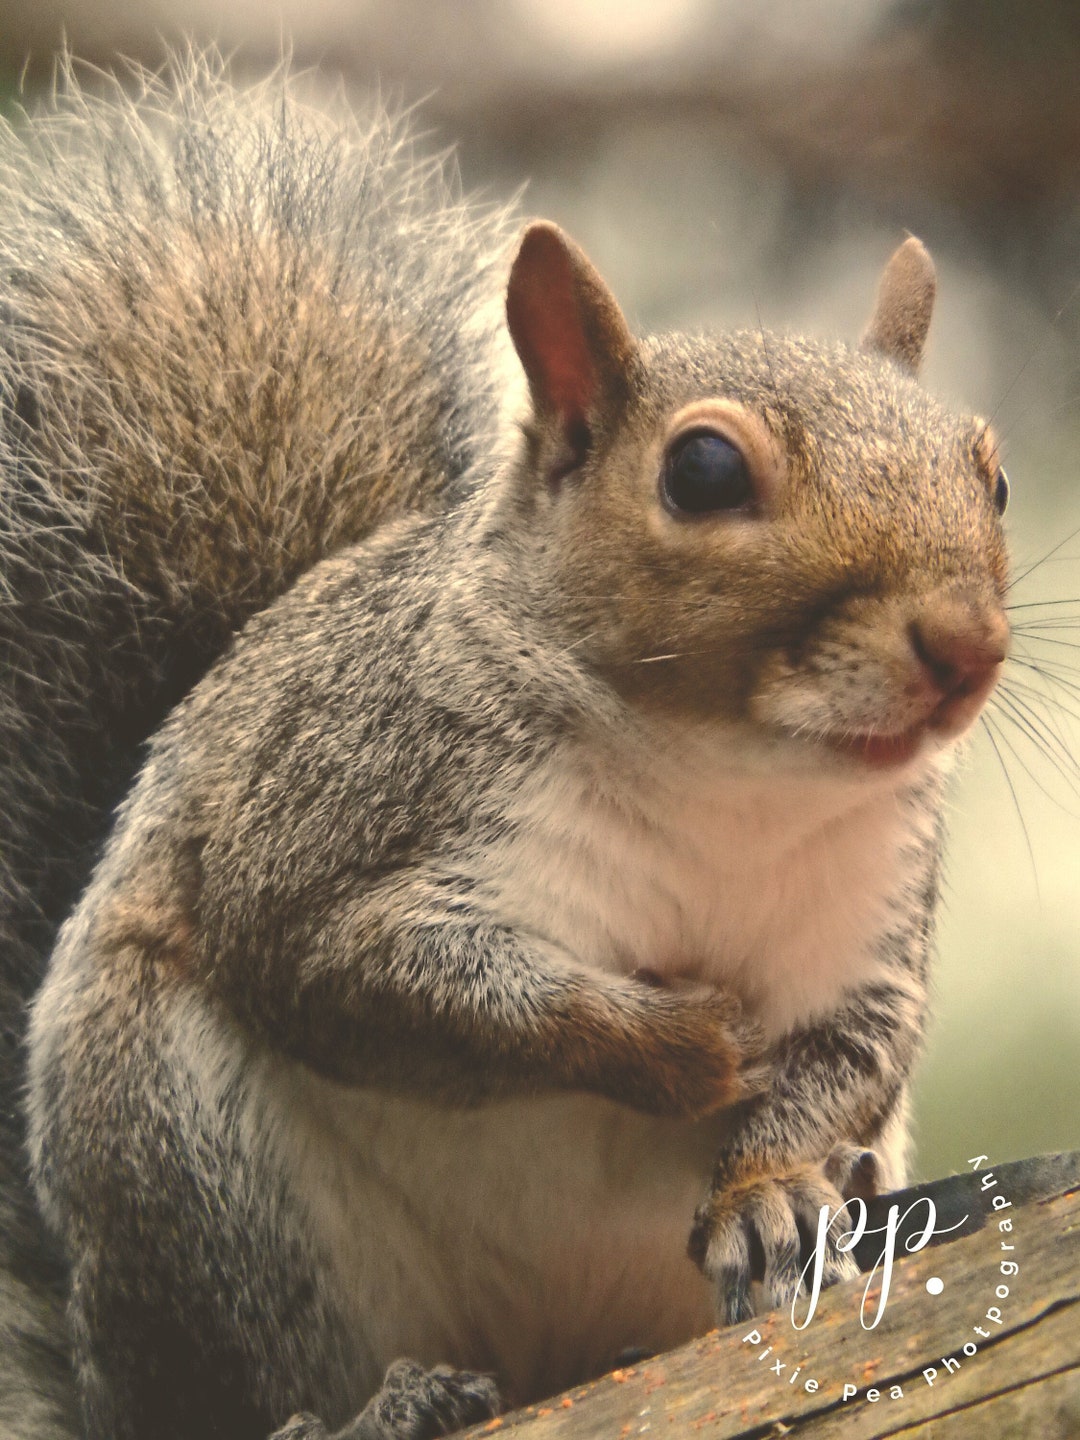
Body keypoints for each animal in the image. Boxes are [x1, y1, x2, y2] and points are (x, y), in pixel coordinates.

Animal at [0, 49, 1012, 1440]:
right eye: (703, 471)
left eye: (993, 475)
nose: (969, 645)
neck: (730, 777)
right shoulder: (340, 824)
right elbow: (393, 984)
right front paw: (680, 1043)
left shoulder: (867, 932)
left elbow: (846, 1060)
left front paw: (768, 1190)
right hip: (180, 1160)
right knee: (250, 1373)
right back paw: (383, 1404)